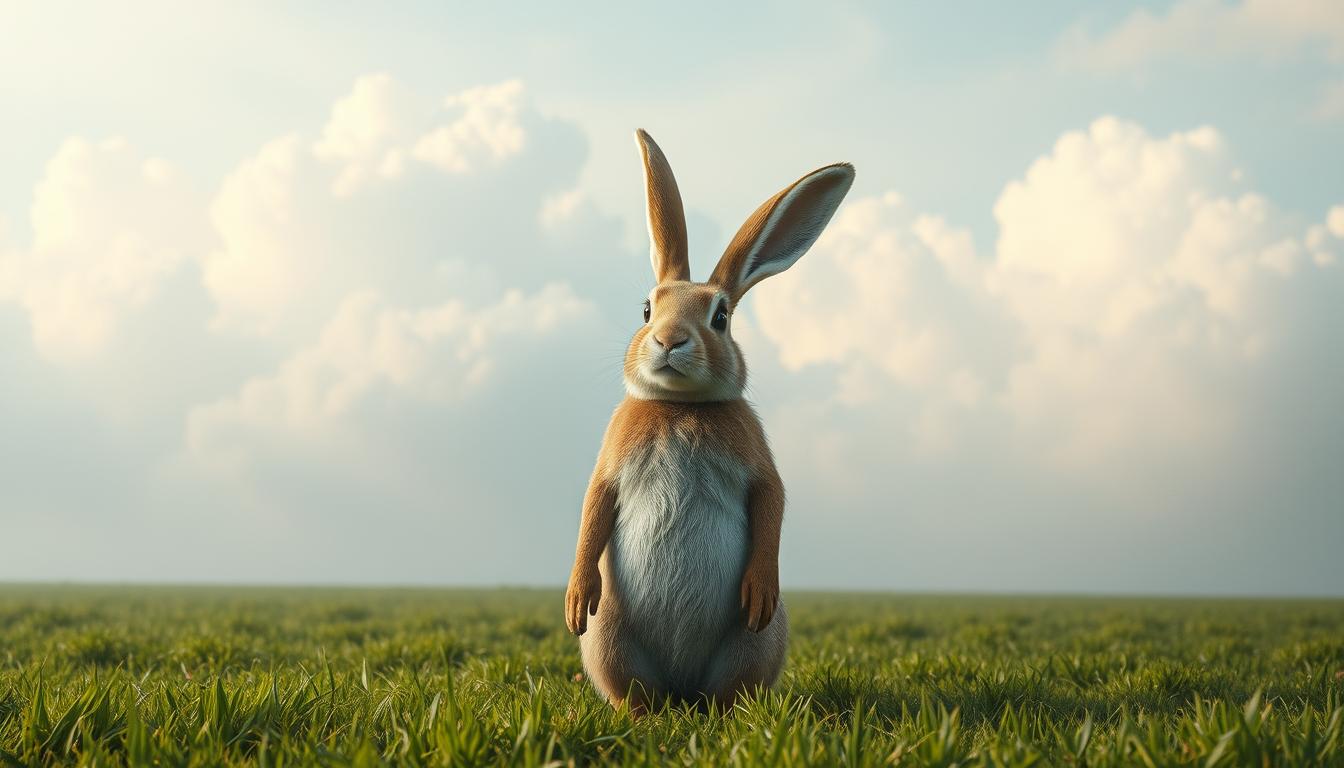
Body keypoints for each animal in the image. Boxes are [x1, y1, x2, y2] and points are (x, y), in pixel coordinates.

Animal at [565, 129, 854, 714]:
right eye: (647, 309)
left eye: (721, 317)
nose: (669, 340)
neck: (682, 408)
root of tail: (682, 688)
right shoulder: (610, 465)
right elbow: (593, 505)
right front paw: (575, 599)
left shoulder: (758, 463)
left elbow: (772, 497)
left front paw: (759, 588)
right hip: (610, 636)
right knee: (635, 688)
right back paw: (646, 715)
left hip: (752, 642)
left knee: (730, 688)